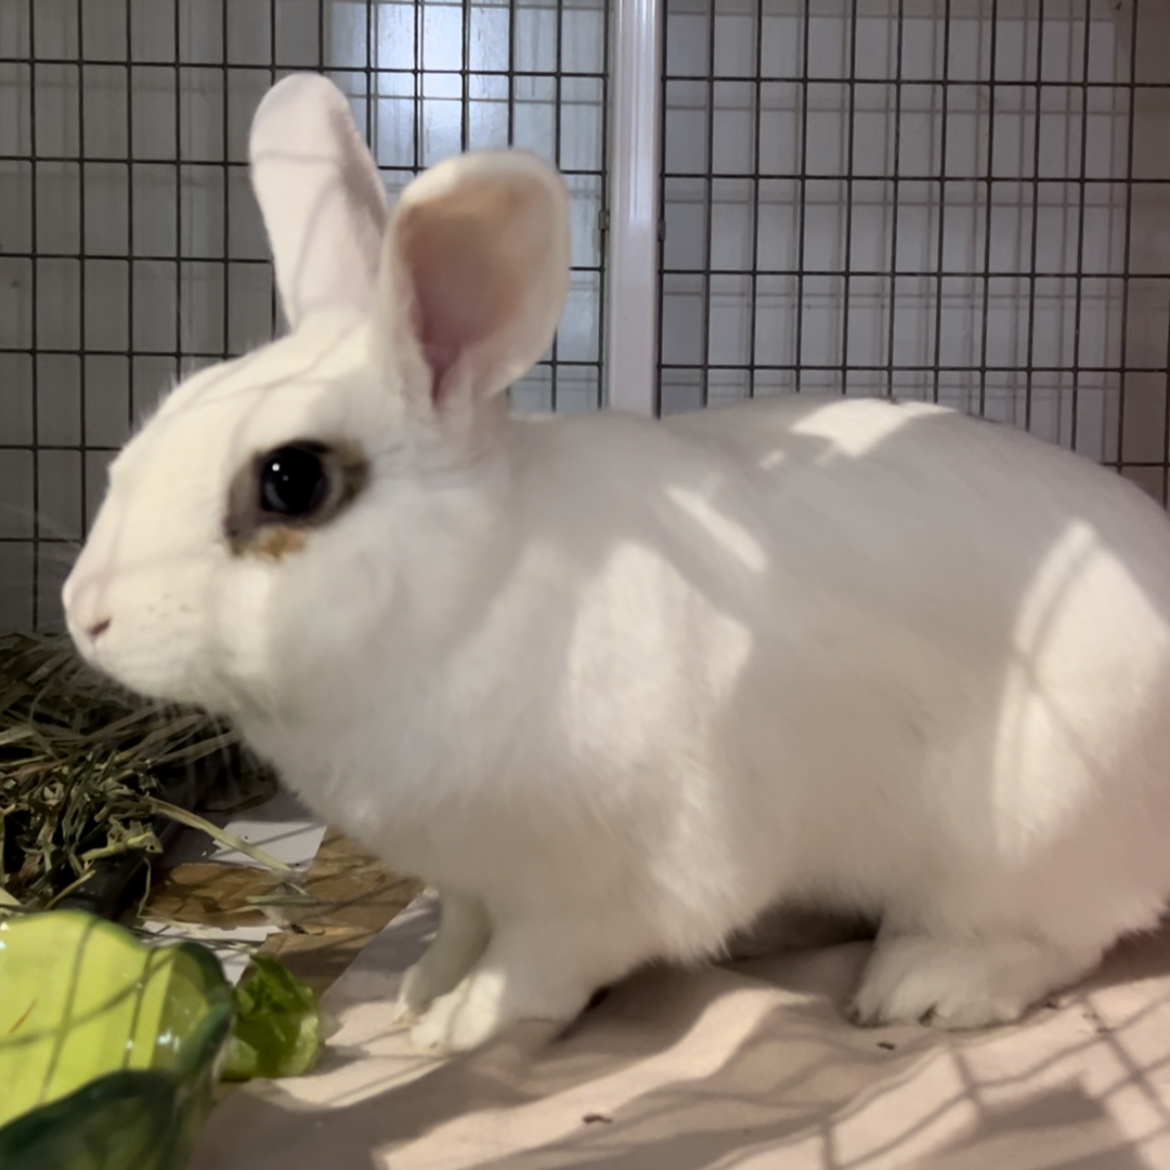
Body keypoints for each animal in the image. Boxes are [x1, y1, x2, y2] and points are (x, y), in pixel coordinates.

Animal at [63, 72, 1170, 1056]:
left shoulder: (607, 891)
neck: (470, 599)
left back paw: (929, 985)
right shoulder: (470, 880)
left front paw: (464, 1026)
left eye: (290, 480)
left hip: (1033, 831)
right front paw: (420, 997)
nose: (85, 612)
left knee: (1048, 934)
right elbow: (461, 934)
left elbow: (534, 967)